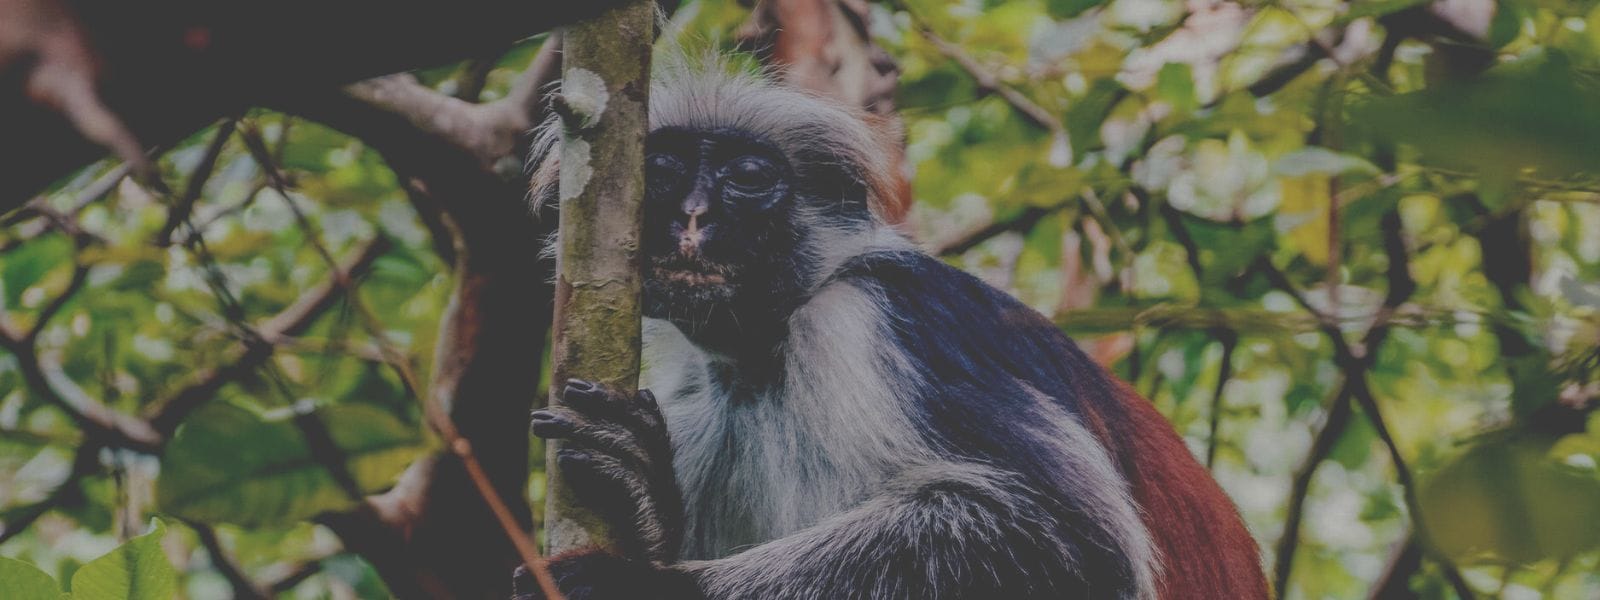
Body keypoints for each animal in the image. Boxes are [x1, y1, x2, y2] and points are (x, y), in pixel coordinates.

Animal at [517, 60, 1269, 600]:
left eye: (749, 177)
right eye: (665, 171)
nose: (694, 218)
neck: (763, 351)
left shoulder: (867, 319)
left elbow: (1076, 540)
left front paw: (638, 583)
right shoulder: (697, 400)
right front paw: (647, 504)